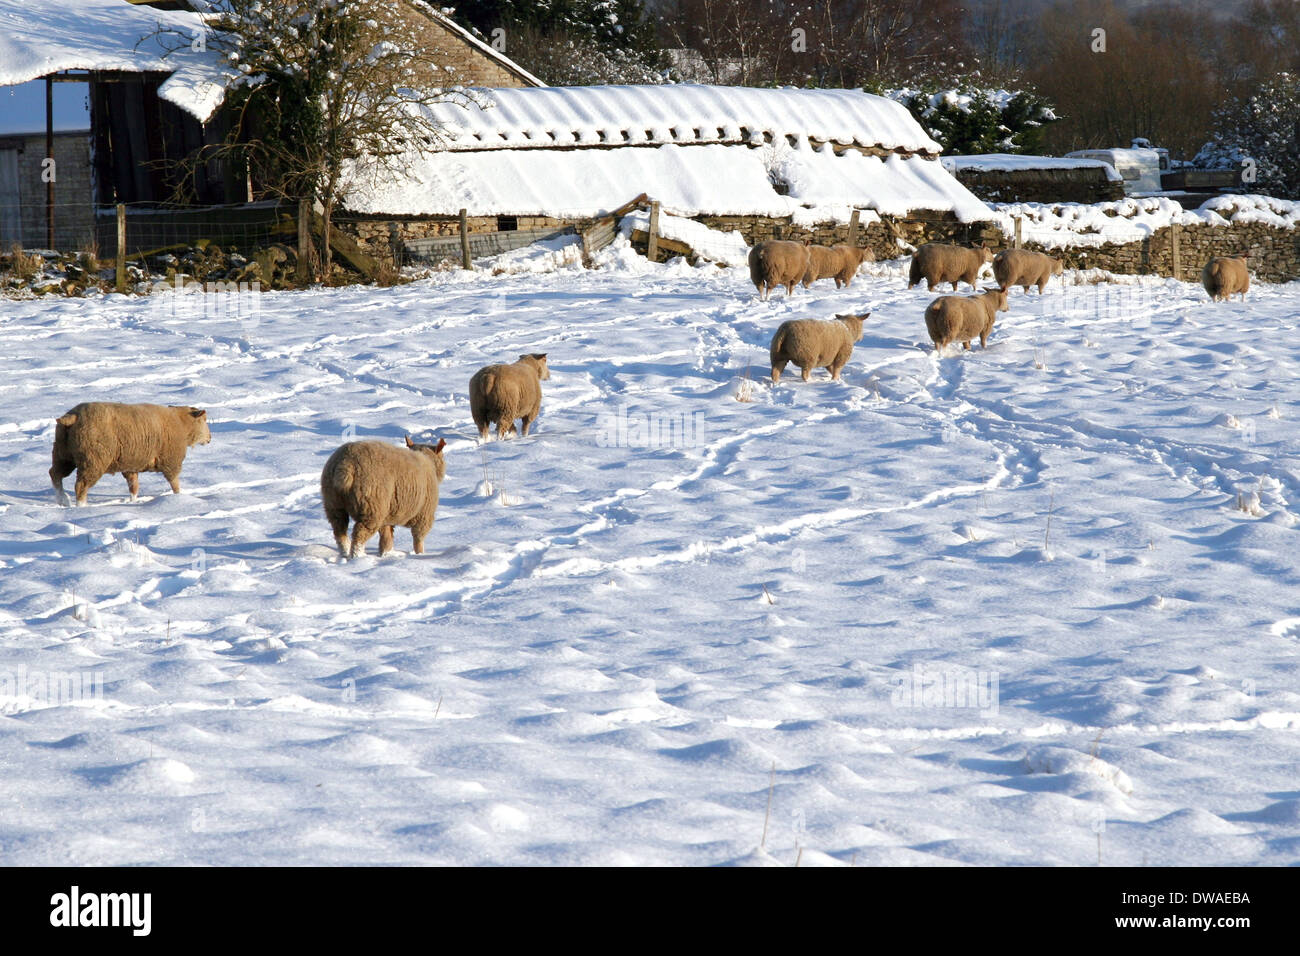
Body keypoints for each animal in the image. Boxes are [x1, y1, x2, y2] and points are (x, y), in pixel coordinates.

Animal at [49, 402, 211, 506]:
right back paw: (81, 506)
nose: (209, 438)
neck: (182, 424)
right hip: (93, 459)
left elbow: (134, 486)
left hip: (63, 454)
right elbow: (175, 483)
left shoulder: (131, 464)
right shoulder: (171, 460)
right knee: (80, 485)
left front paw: (133, 501)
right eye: (204, 420)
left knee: (55, 474)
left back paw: (62, 500)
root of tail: (72, 417)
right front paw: (179, 498)